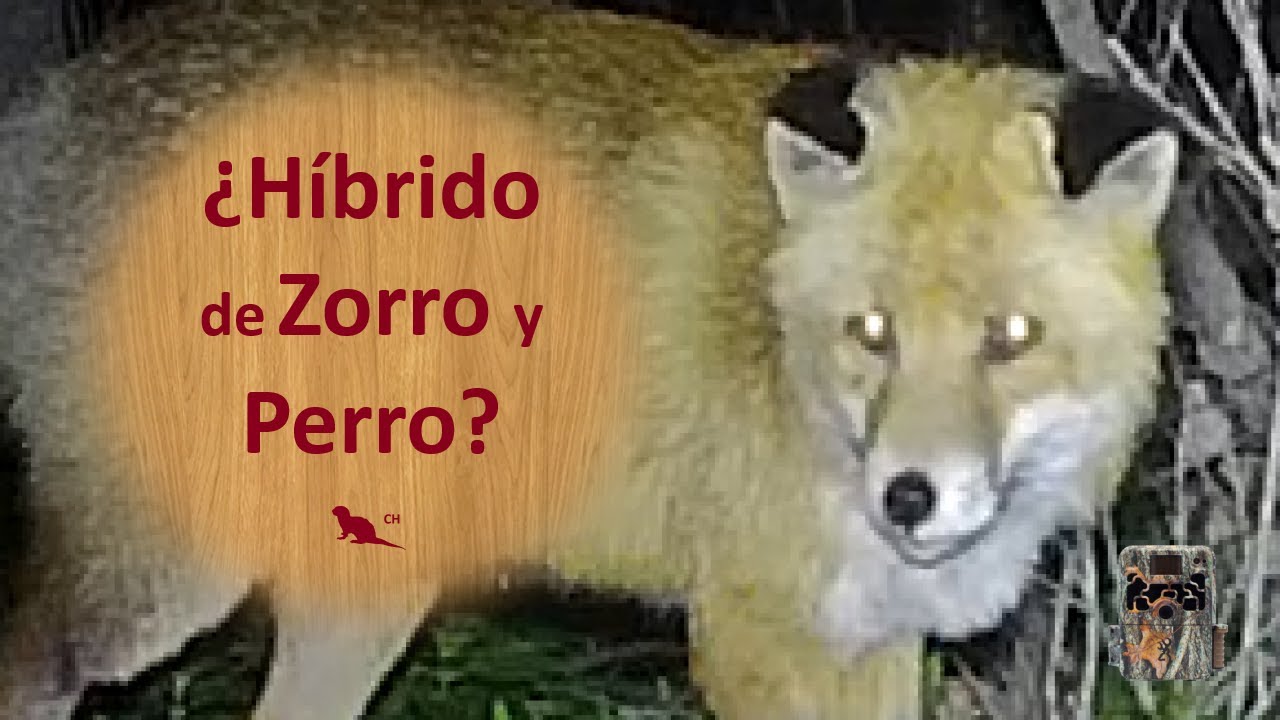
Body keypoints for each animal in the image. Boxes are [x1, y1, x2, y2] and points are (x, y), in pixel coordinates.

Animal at [0, 1, 1181, 719]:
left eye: (1010, 338)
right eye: (872, 331)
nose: (908, 498)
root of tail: (56, 92)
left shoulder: (870, 638)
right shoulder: (754, 636)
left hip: (362, 597)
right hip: (158, 581)